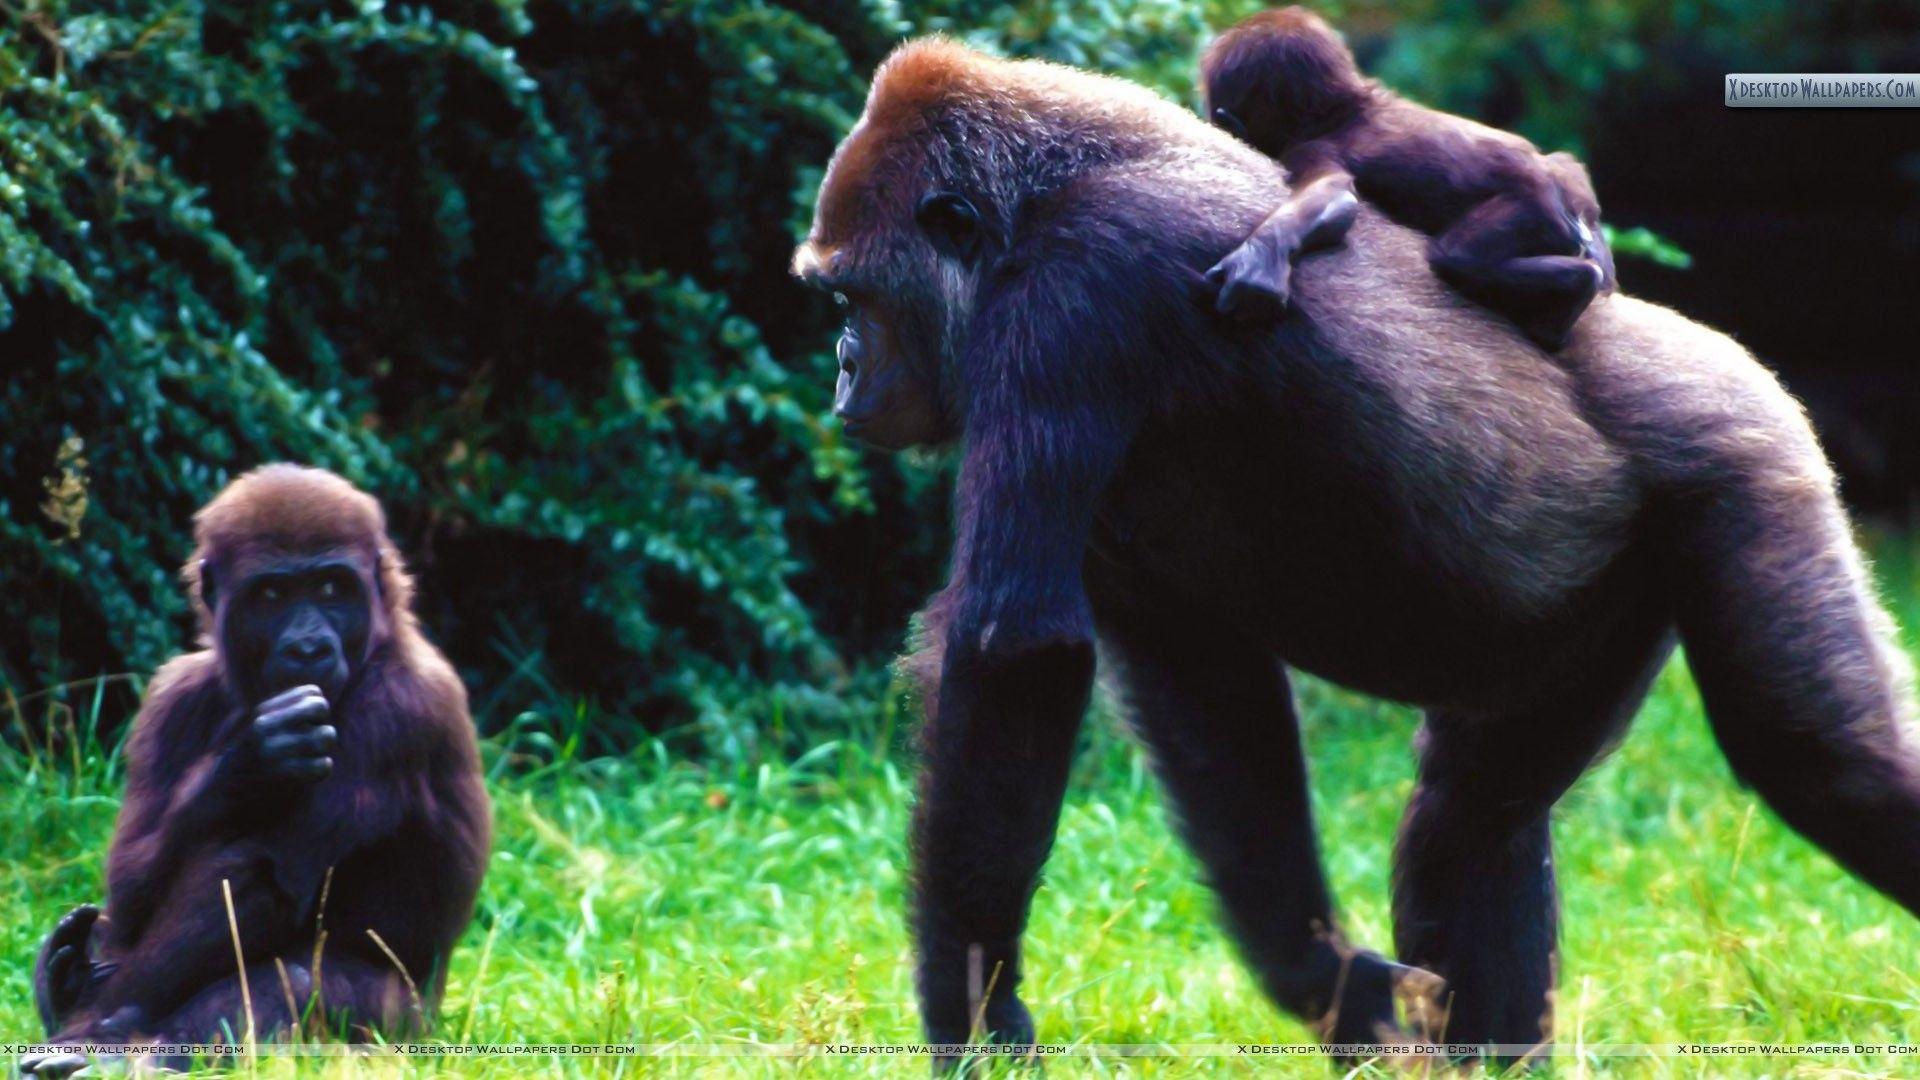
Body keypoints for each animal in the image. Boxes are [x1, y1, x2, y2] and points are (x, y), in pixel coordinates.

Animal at [25, 465, 490, 1075]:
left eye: (331, 588)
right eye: (271, 595)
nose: (310, 648)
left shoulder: (400, 707)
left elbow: (264, 877)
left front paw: (97, 1024)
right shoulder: (172, 695)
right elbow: (132, 889)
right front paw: (247, 762)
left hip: (406, 1033)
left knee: (291, 977)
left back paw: (137, 1048)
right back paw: (67, 984)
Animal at [1200, 7, 1615, 349]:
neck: (1343, 109)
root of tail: (1570, 205)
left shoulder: (1310, 148)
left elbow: (1332, 196)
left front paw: (1259, 260)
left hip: (1533, 208)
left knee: (1457, 258)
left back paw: (1574, 292)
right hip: (1568, 186)